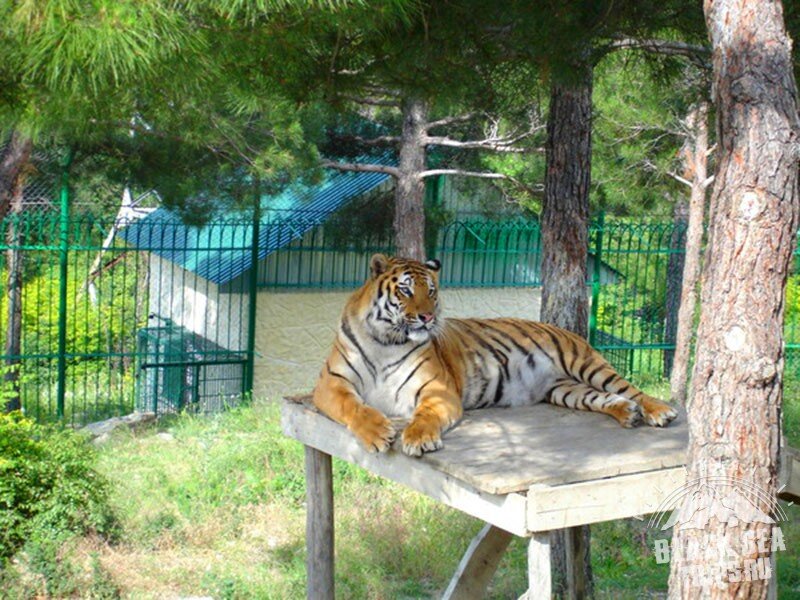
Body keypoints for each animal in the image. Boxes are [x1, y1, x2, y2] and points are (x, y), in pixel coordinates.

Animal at [310, 252, 680, 454]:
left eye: (432, 291)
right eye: (405, 290)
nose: (427, 317)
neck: (386, 340)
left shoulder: (438, 390)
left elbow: (425, 415)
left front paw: (418, 438)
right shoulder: (331, 385)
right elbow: (354, 407)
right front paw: (377, 432)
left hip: (585, 363)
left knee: (629, 388)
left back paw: (659, 411)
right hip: (566, 390)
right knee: (606, 398)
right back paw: (627, 413)